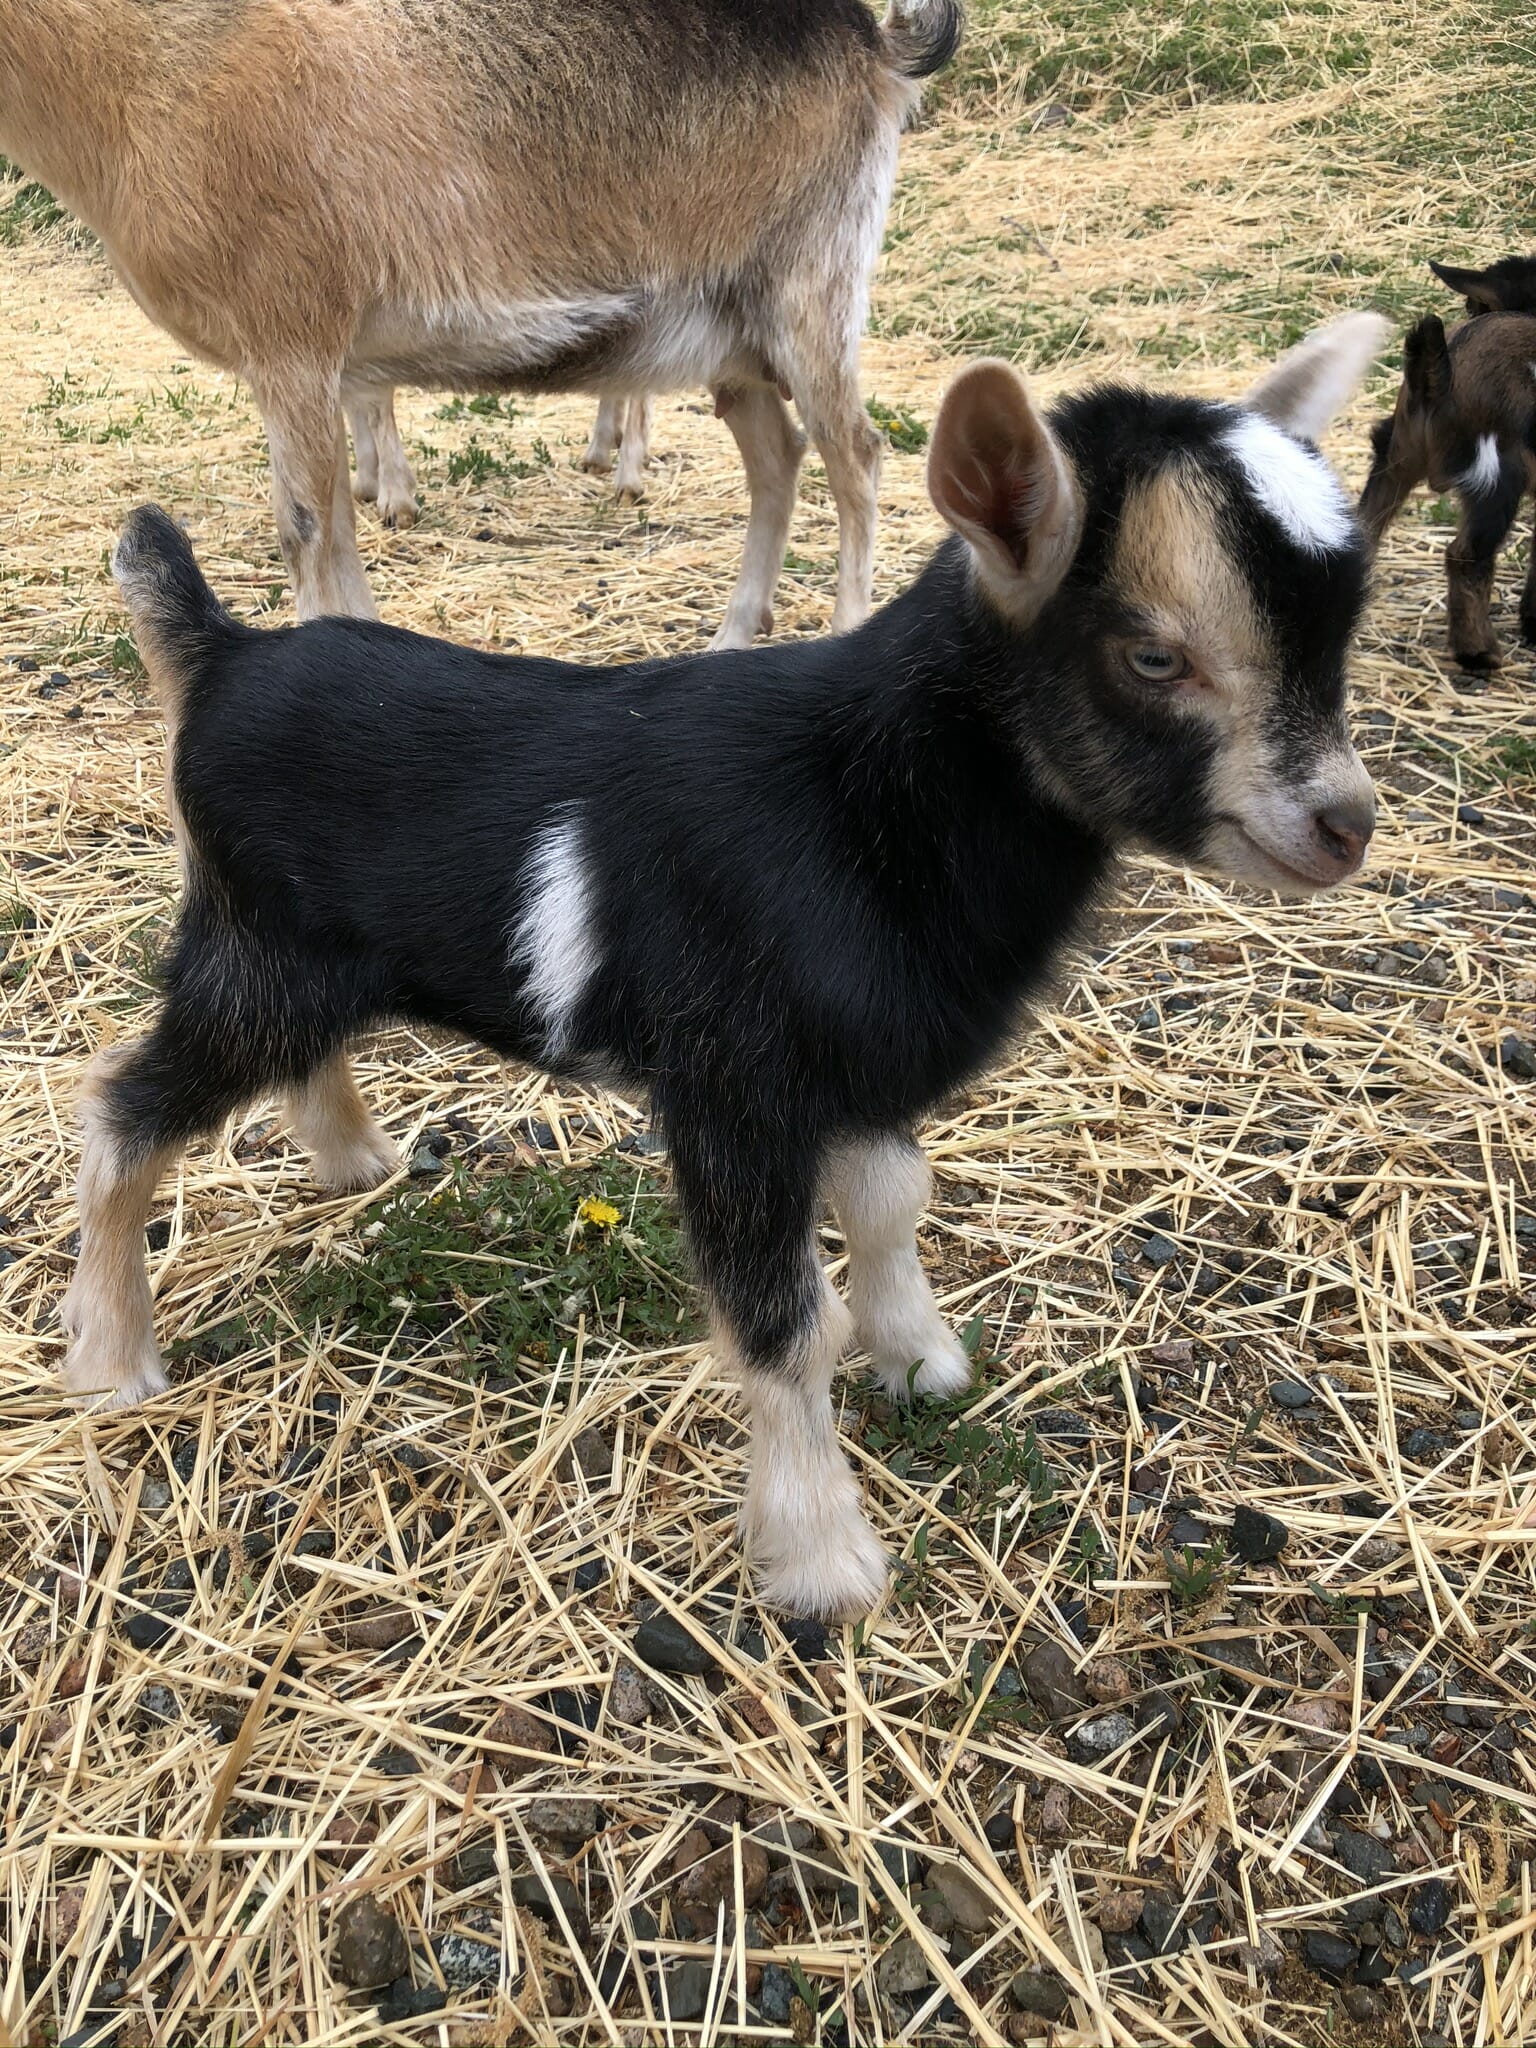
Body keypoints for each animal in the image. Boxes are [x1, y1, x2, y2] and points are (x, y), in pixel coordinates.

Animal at [0, 0, 961, 643]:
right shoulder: (320, 364)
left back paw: (838, 634)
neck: (159, 65)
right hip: (731, 332)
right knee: (778, 458)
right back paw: (730, 639)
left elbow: (305, 528)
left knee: (856, 456)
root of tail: (875, 43)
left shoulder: (293, 341)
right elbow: (336, 526)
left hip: (812, 292)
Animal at [61, 315, 1383, 1619]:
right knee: (122, 1109)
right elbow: (782, 1321)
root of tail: (224, 654)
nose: (1344, 825)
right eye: (1155, 656)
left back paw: (354, 1159)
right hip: (255, 950)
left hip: (297, 960)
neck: (864, 794)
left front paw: (921, 1362)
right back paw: (111, 1360)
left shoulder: (856, 1062)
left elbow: (892, 1203)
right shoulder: (731, 1087)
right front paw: (823, 1562)